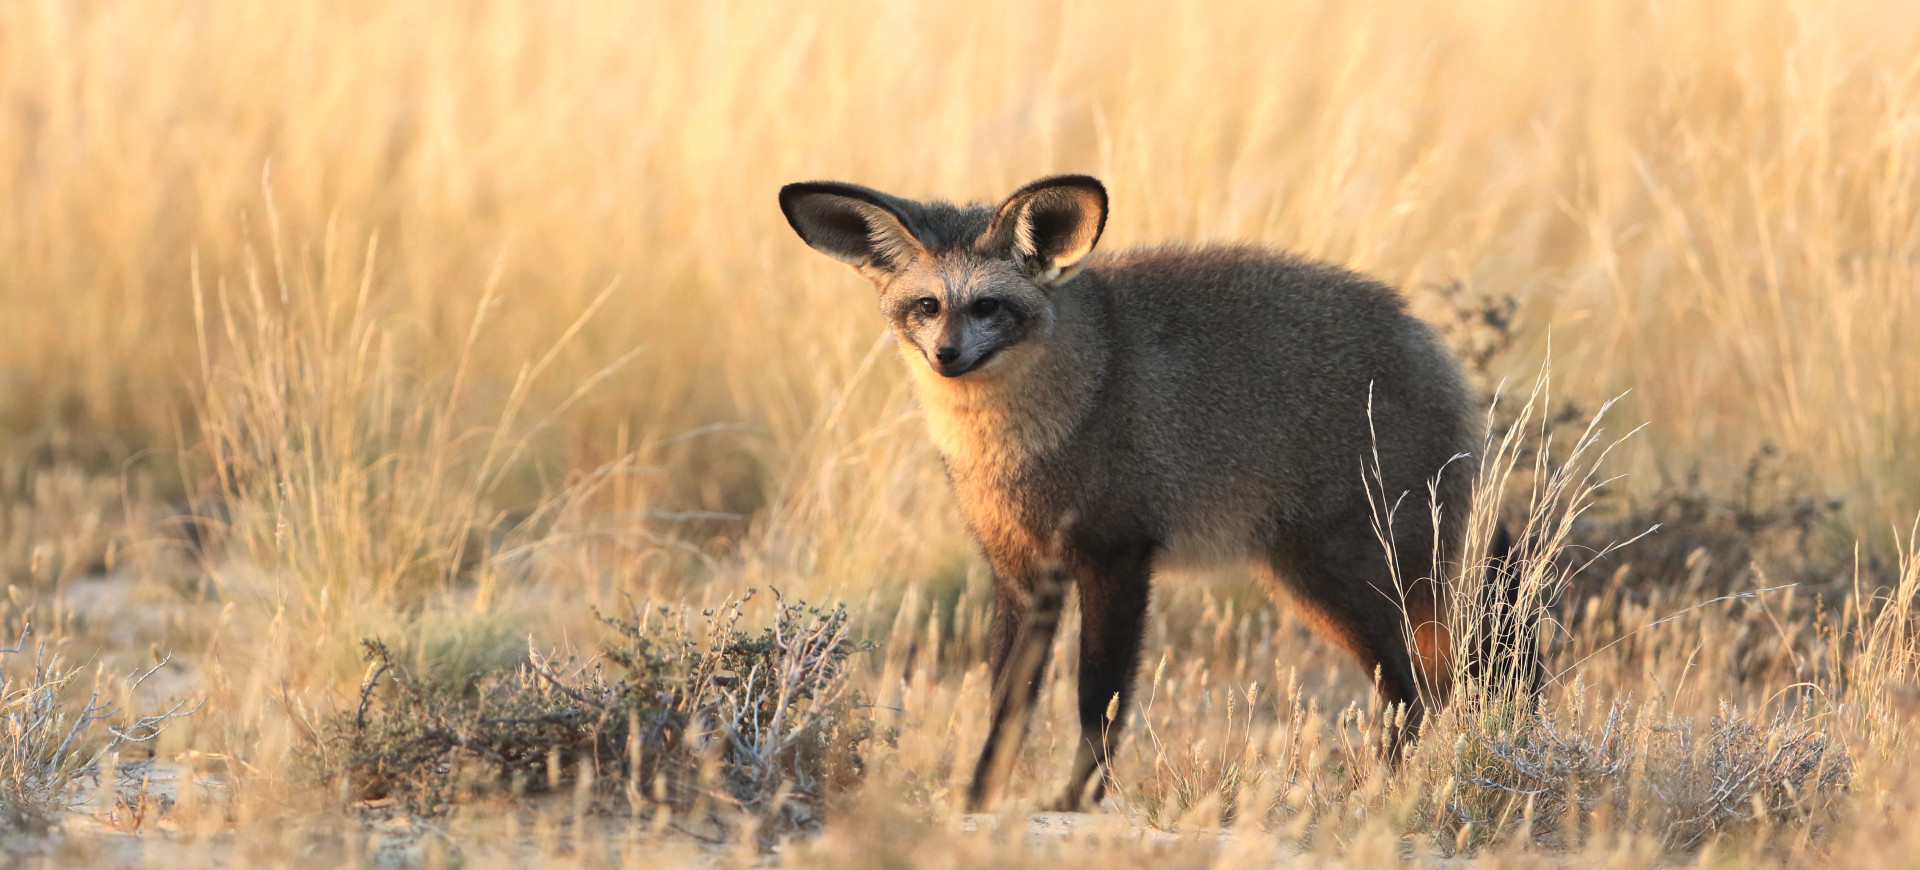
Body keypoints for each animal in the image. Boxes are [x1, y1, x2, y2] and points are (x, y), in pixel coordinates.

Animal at [777, 174, 1526, 812]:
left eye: (988, 306)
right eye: (926, 307)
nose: (946, 357)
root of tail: (1431, 345)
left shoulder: (1117, 556)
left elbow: (1098, 698)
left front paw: (1075, 802)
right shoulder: (1020, 569)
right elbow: (1007, 704)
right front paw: (979, 800)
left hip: (1337, 576)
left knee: (1416, 689)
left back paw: (1376, 796)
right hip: (1321, 580)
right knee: (1431, 684)